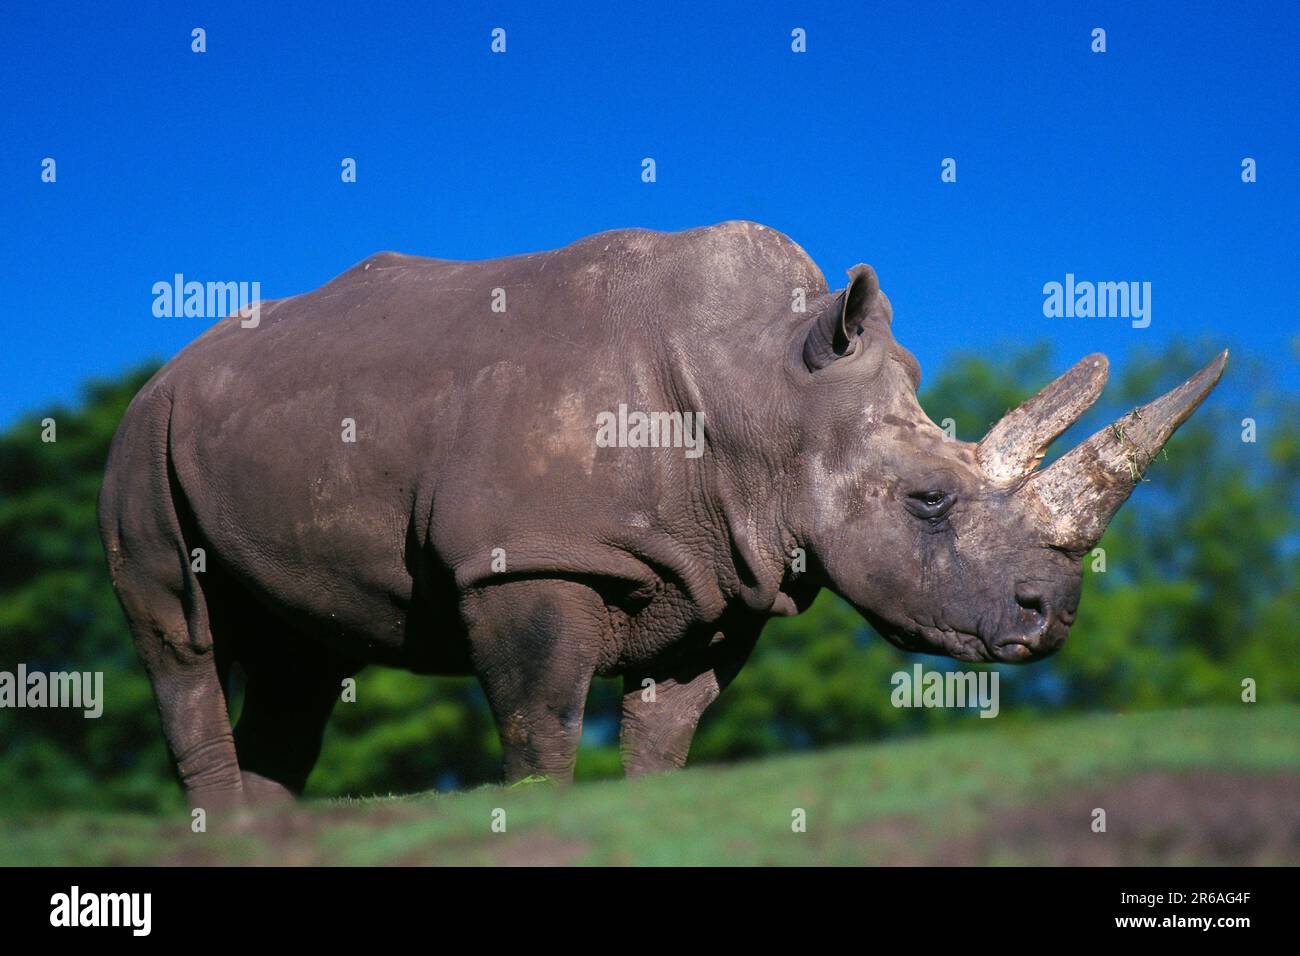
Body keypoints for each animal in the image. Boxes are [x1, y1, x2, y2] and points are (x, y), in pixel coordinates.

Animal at [98, 221, 1226, 807]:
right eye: (929, 500)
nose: (1053, 614)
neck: (769, 390)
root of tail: (174, 363)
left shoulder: (726, 569)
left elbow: (667, 732)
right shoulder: (527, 555)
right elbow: (542, 722)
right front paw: (541, 810)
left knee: (299, 660)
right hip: (141, 434)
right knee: (177, 629)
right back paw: (220, 818)